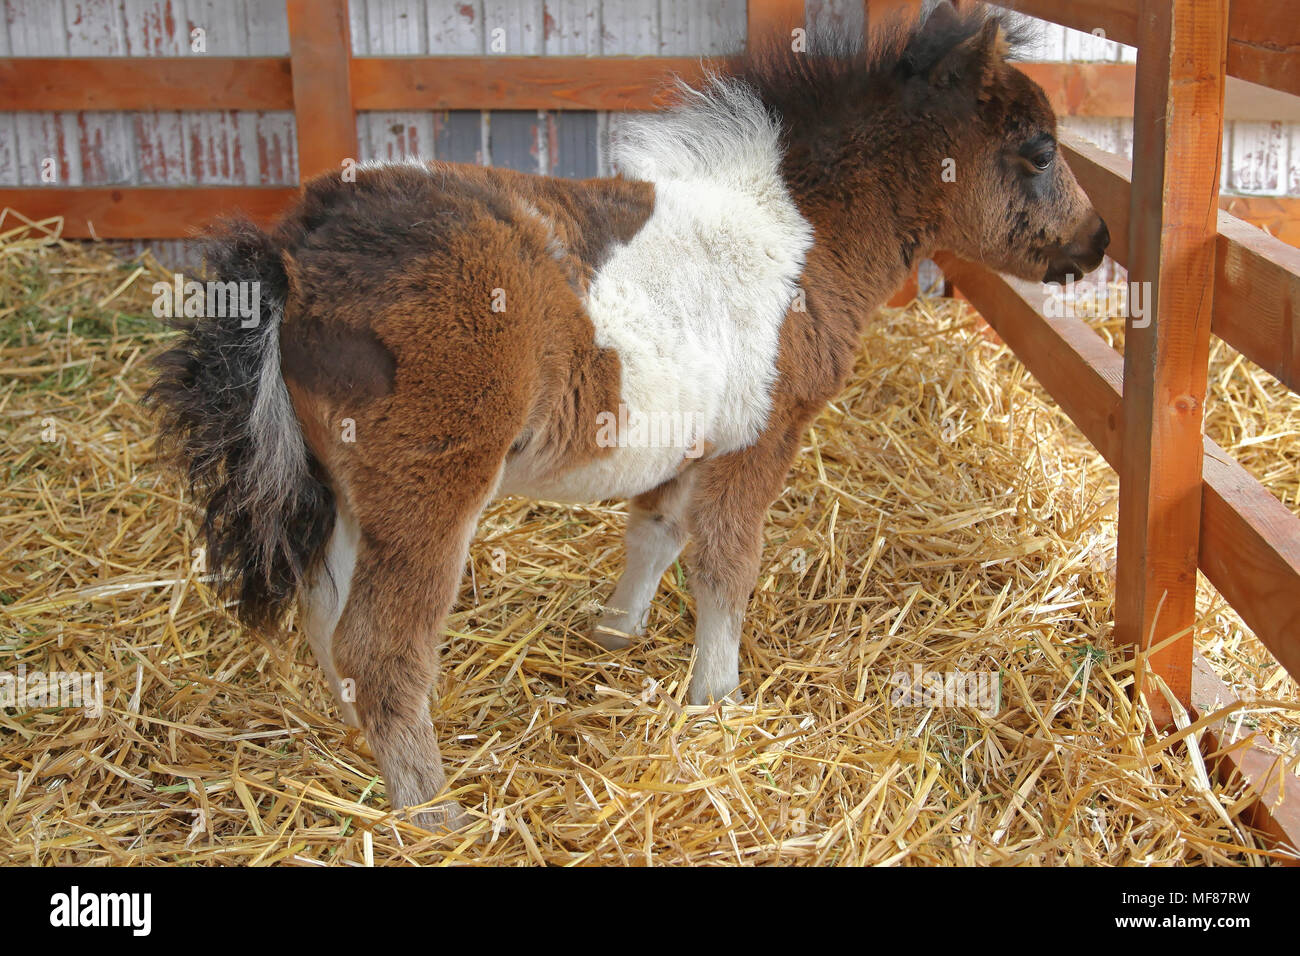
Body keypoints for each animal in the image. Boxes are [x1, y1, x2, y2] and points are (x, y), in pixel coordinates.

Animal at [149, 2, 1110, 828]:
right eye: (1038, 149)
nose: (1097, 243)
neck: (800, 231)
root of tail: (293, 256)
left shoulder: (688, 441)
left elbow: (654, 531)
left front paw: (617, 634)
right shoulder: (761, 438)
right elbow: (727, 564)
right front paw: (718, 698)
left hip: (347, 489)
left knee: (324, 612)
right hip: (429, 491)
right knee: (378, 649)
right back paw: (435, 814)